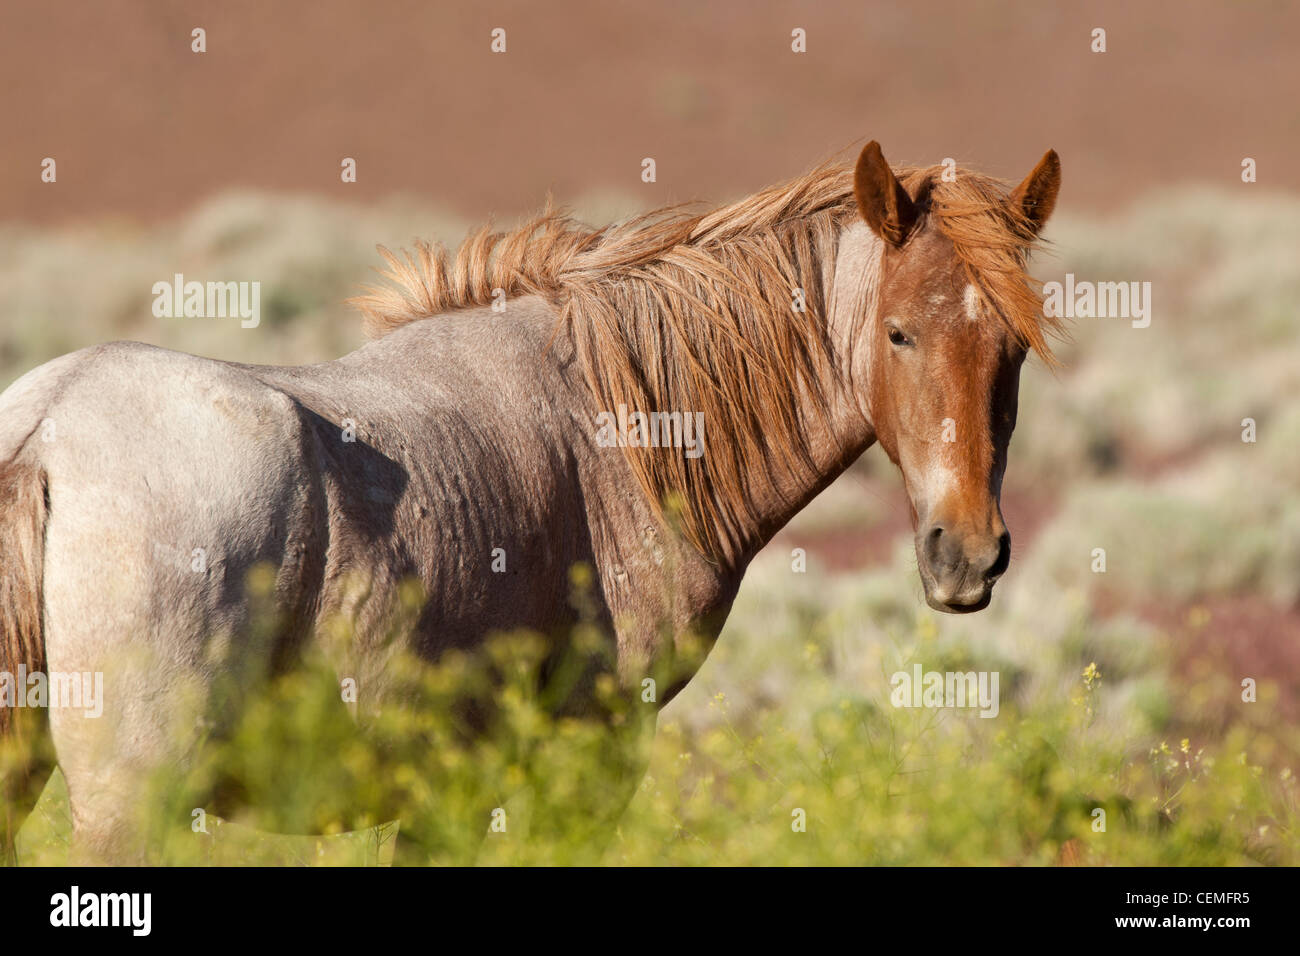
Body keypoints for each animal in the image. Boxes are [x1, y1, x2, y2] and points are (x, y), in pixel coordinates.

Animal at [0, 140, 1061, 863]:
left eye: (1014, 344)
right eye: (898, 333)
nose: (968, 555)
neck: (612, 429)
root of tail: (44, 434)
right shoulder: (580, 766)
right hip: (131, 801)